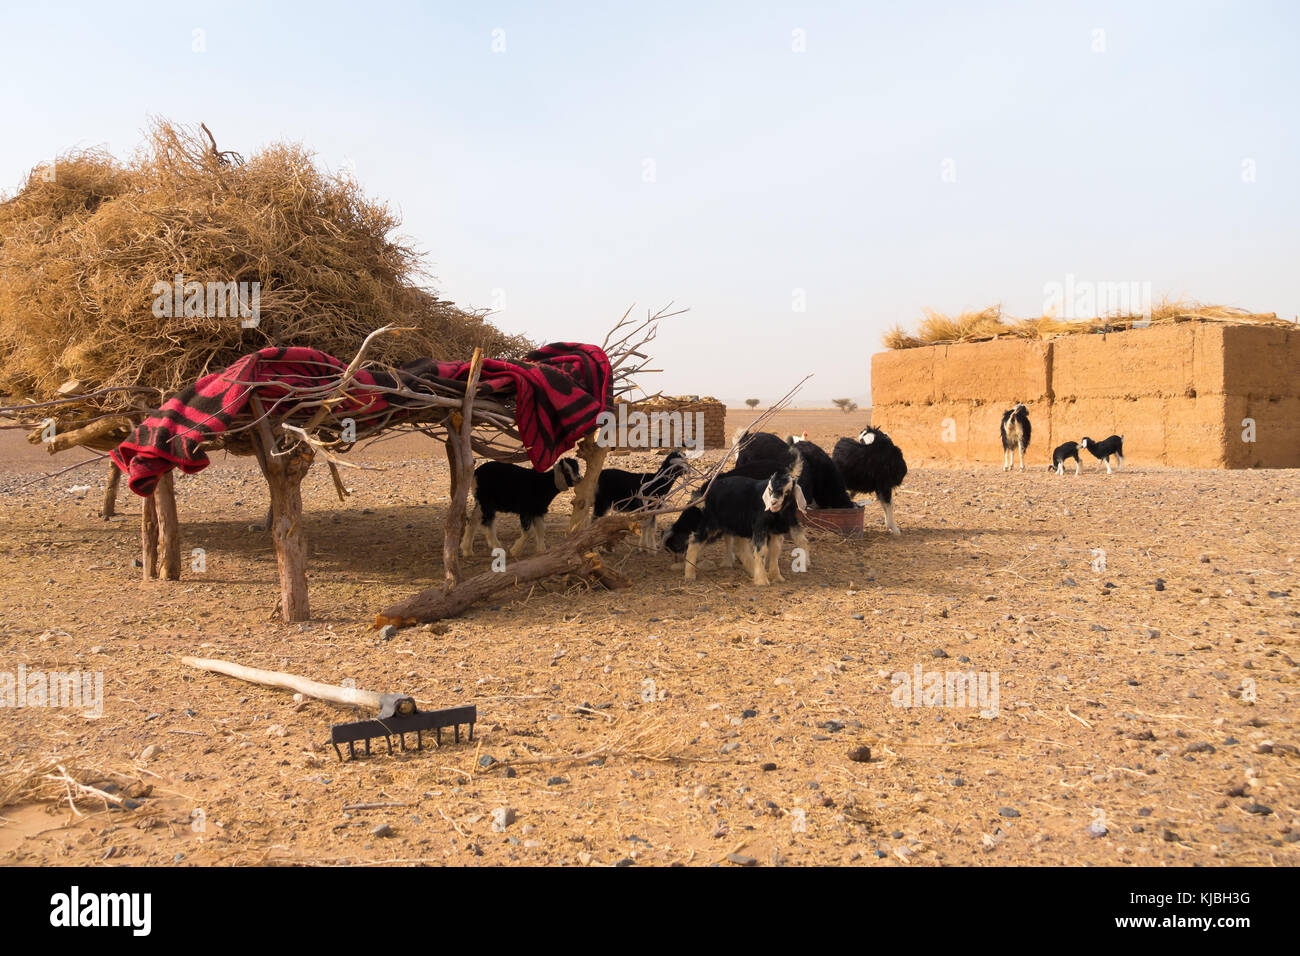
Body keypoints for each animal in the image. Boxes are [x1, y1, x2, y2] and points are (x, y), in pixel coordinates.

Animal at [684, 452, 808, 586]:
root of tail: (706, 492)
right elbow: (762, 550)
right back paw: (689, 574)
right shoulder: (760, 527)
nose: (773, 503)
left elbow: (775, 551)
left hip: (737, 524)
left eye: (787, 491)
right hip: (711, 522)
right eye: (770, 489)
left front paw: (776, 577)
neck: (776, 514)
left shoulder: (776, 530)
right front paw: (762, 581)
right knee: (694, 540)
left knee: (741, 548)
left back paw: (752, 570)